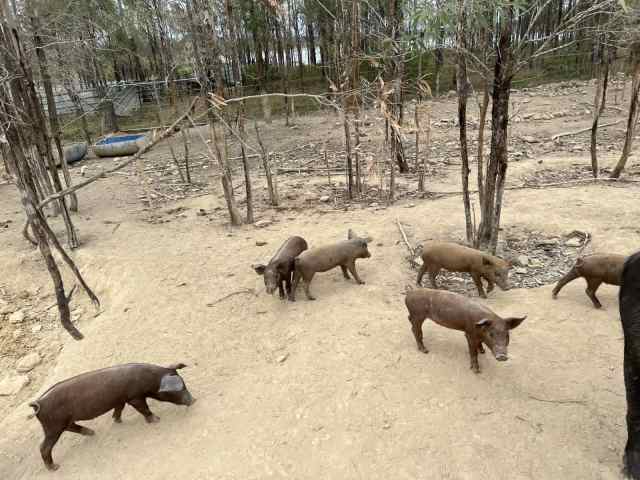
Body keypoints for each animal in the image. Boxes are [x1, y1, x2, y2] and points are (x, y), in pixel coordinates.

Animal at [28, 363, 195, 471]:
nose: (194, 400)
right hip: (53, 426)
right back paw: (54, 468)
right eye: (176, 391)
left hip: (61, 423)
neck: (150, 380)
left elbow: (119, 409)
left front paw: (118, 420)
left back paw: (91, 433)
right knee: (43, 447)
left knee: (72, 427)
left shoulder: (121, 399)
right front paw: (157, 420)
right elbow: (144, 408)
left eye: (184, 384)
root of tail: (38, 403)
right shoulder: (134, 397)